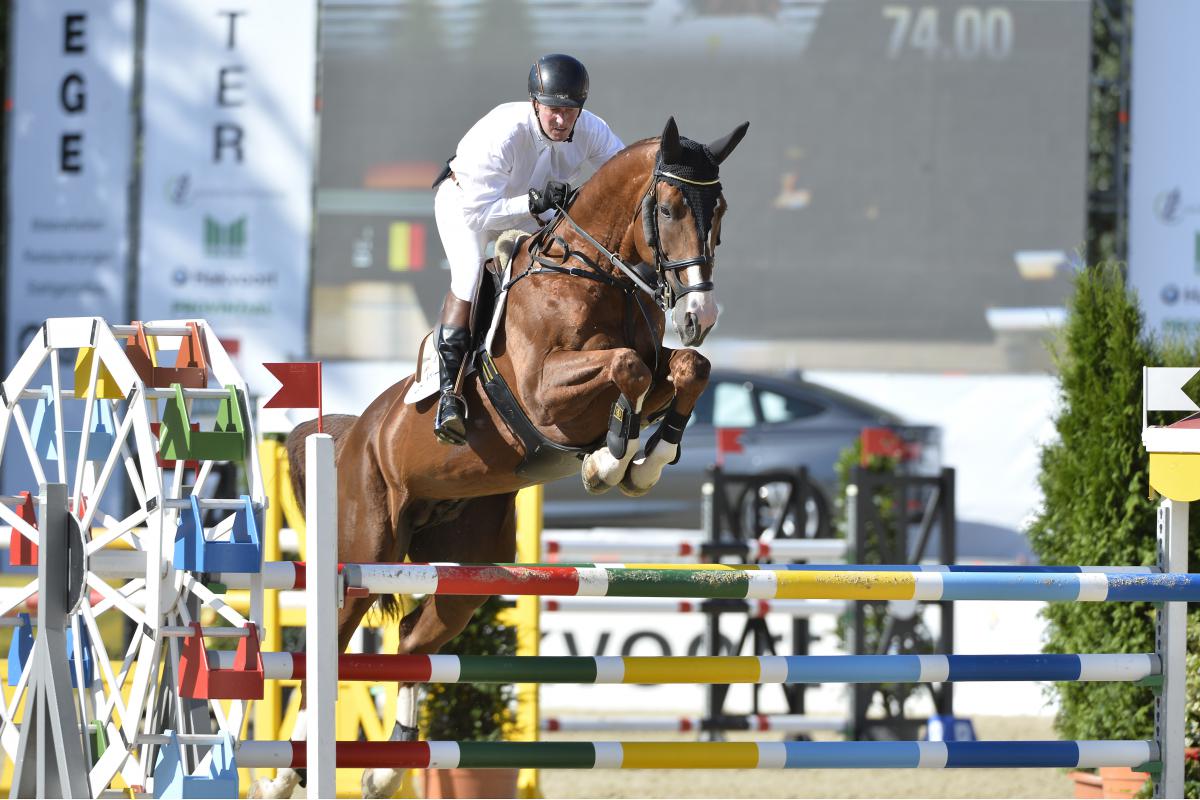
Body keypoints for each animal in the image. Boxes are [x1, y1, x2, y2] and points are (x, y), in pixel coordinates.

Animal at [249, 117, 748, 799]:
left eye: (719, 210)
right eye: (669, 209)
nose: (701, 315)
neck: (597, 275)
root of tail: (354, 434)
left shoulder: (660, 366)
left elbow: (684, 368)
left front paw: (646, 459)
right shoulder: (543, 394)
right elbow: (628, 367)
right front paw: (606, 462)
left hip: (467, 566)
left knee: (413, 638)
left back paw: (384, 768)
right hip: (364, 548)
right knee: (332, 642)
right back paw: (285, 773)